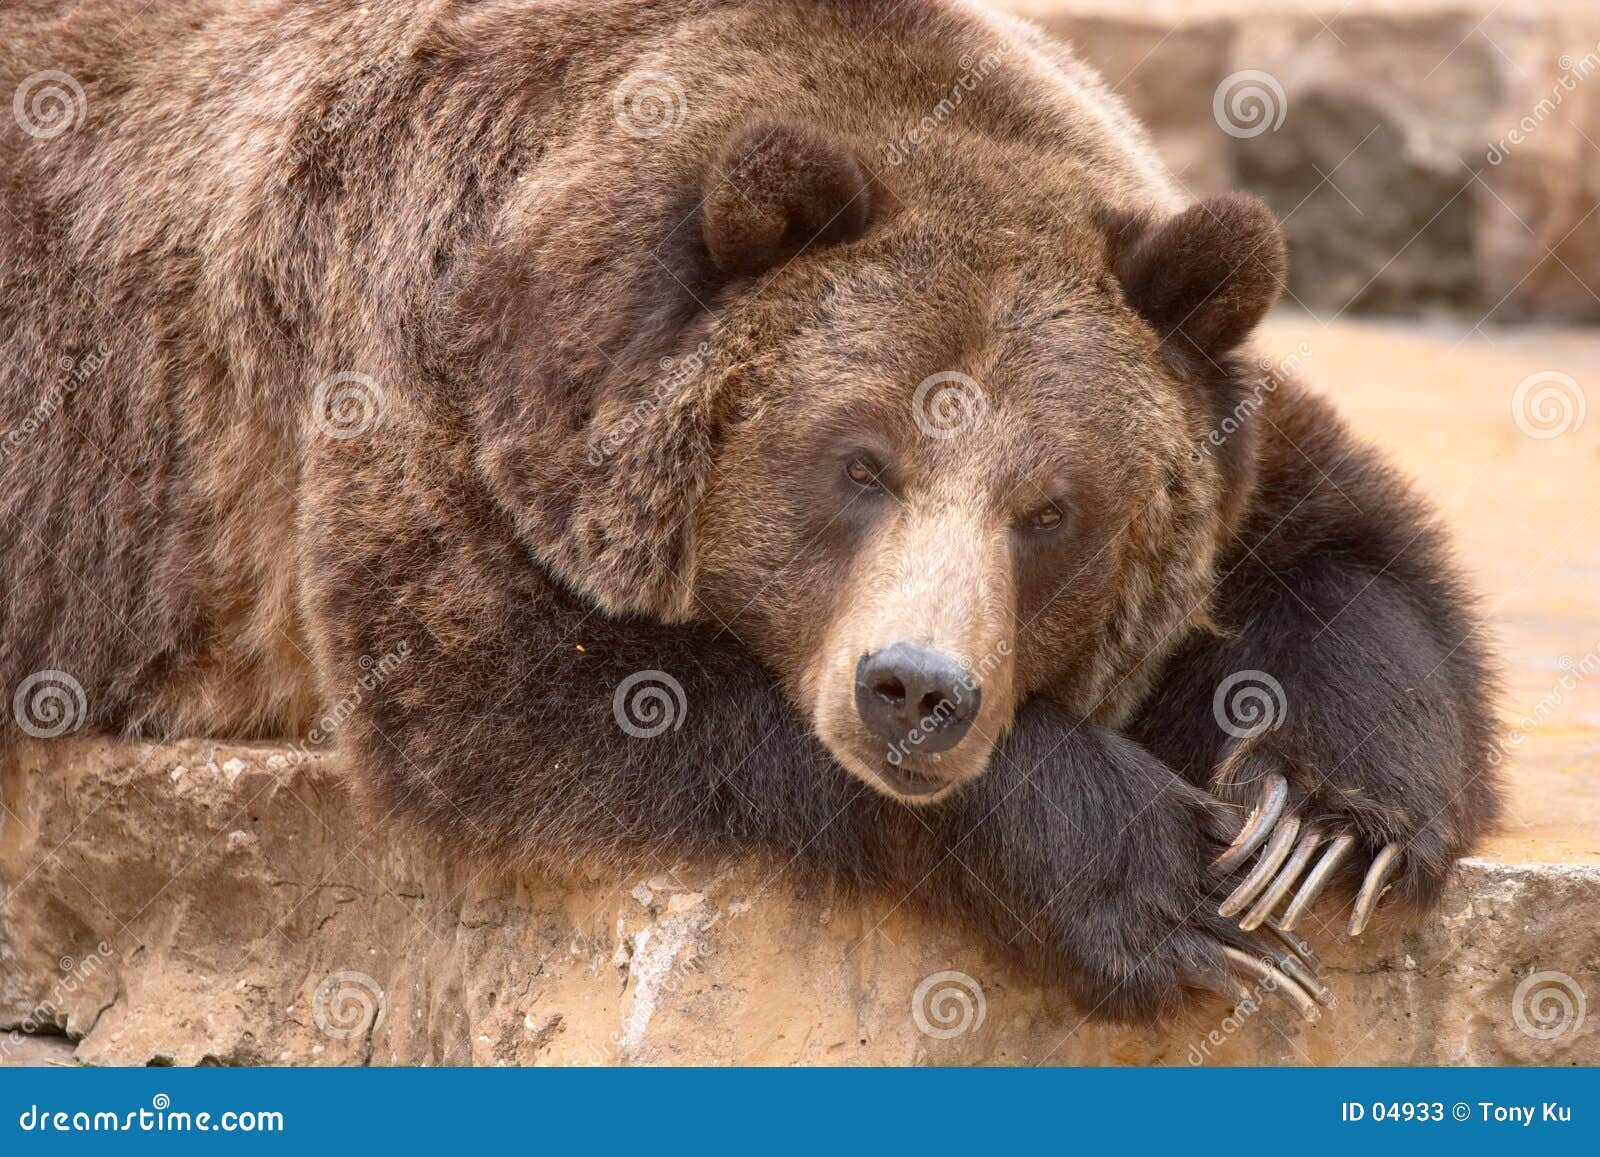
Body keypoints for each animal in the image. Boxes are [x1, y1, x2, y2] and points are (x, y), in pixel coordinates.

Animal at [0, 0, 1499, 1025]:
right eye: (858, 462)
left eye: (1052, 508)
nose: (918, 691)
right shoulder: (410, 369)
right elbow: (517, 693)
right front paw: (1173, 882)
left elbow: (1336, 538)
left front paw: (1316, 822)